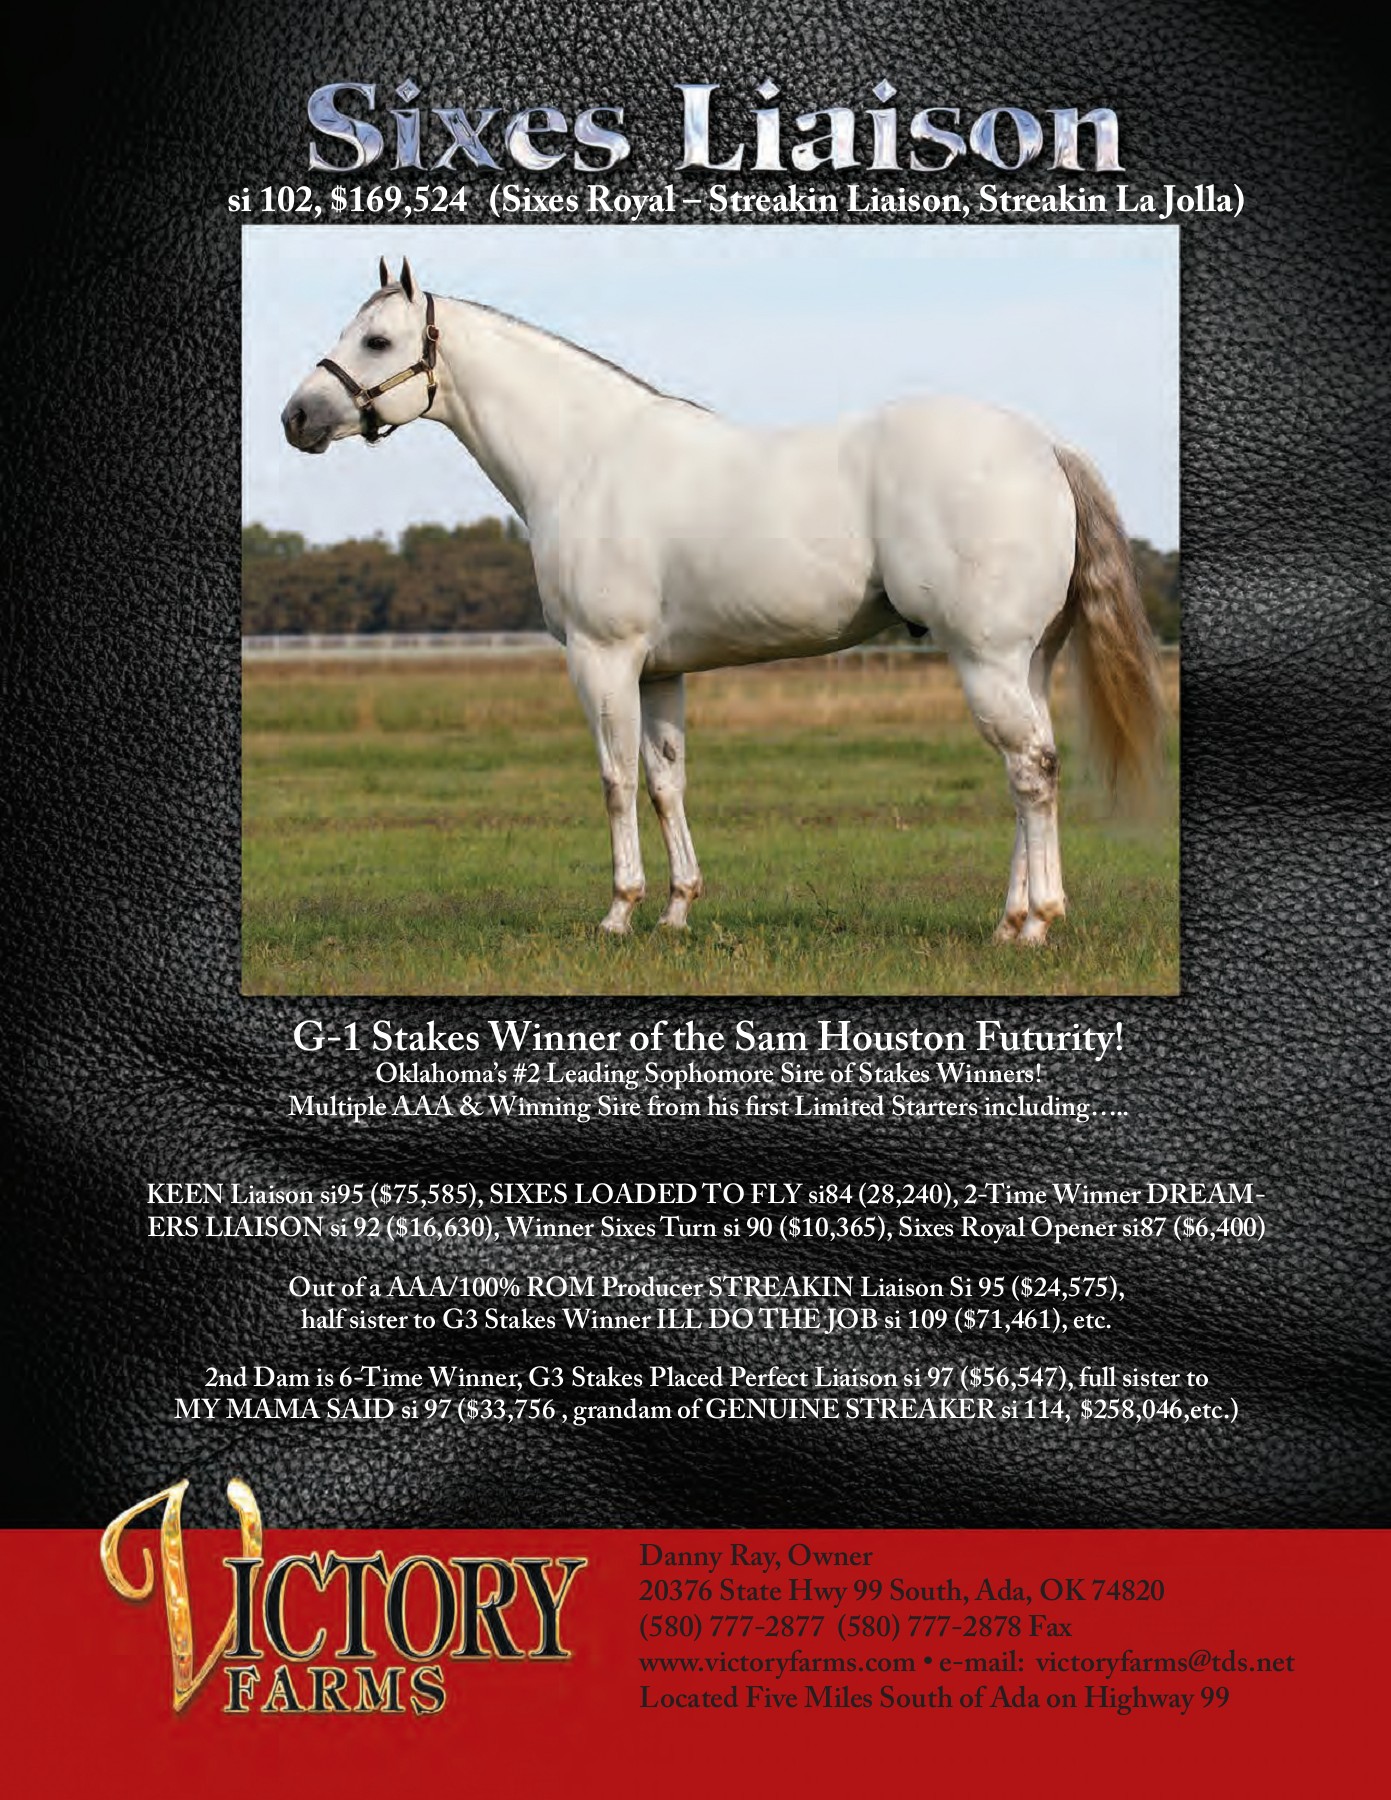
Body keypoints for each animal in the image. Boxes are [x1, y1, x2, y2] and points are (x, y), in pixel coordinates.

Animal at [281, 257, 1164, 945]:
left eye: (377, 340)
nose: (297, 416)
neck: (584, 458)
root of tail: (1043, 447)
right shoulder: (657, 672)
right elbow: (665, 782)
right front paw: (677, 910)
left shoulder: (602, 659)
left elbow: (613, 780)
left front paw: (619, 912)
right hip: (1025, 662)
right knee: (1030, 771)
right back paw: (1013, 918)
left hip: (984, 659)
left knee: (1031, 771)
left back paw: (1034, 922)